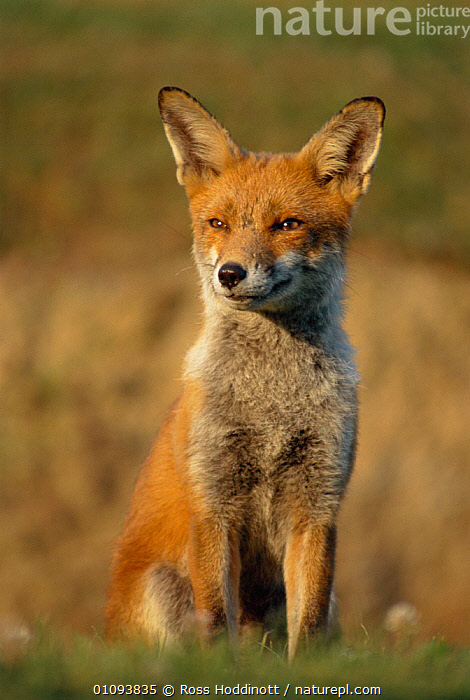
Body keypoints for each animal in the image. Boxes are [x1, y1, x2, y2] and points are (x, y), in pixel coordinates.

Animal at [105, 87, 385, 661]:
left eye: (288, 224)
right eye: (218, 224)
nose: (229, 273)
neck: (271, 404)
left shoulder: (317, 505)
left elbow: (309, 624)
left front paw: (308, 672)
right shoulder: (213, 502)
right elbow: (216, 619)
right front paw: (218, 671)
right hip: (163, 586)